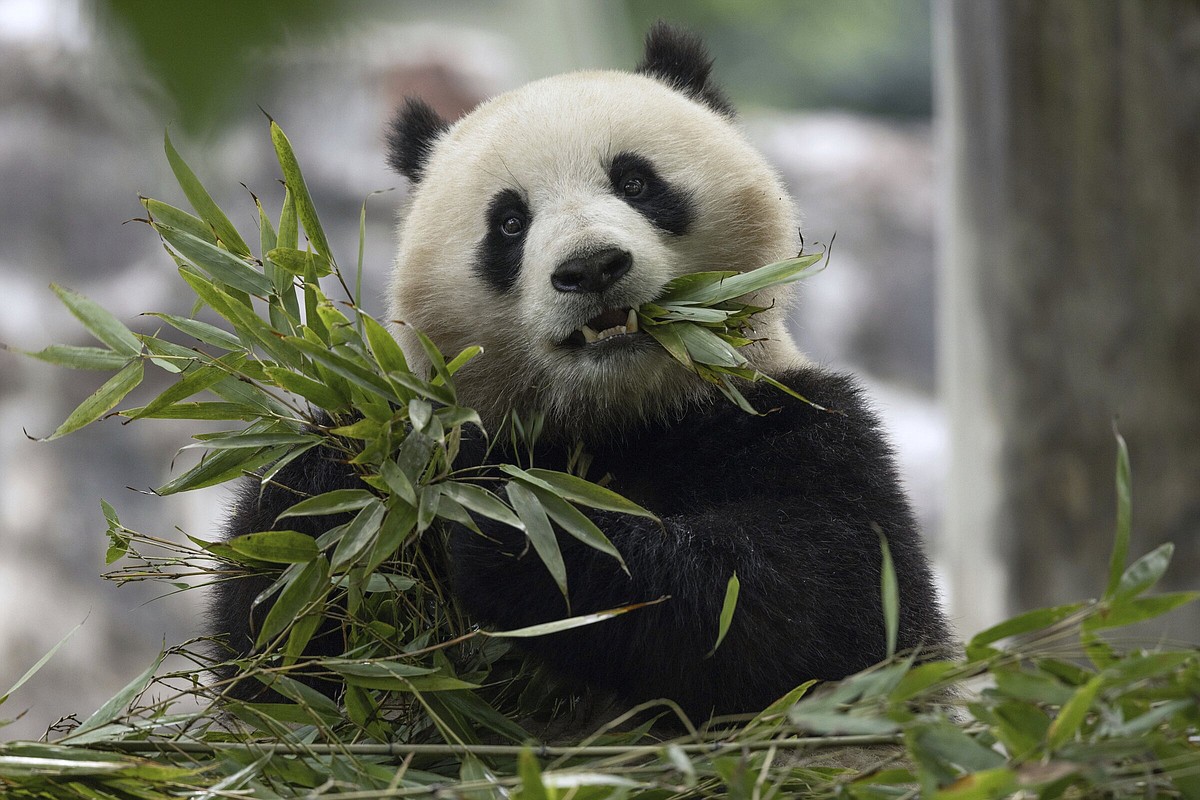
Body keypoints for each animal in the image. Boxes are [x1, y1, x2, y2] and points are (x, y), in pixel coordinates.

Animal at [211, 22, 952, 723]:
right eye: (509, 222)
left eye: (636, 182)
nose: (592, 267)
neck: (620, 414)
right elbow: (280, 659)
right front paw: (345, 477)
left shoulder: (799, 422)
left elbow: (821, 611)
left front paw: (519, 530)